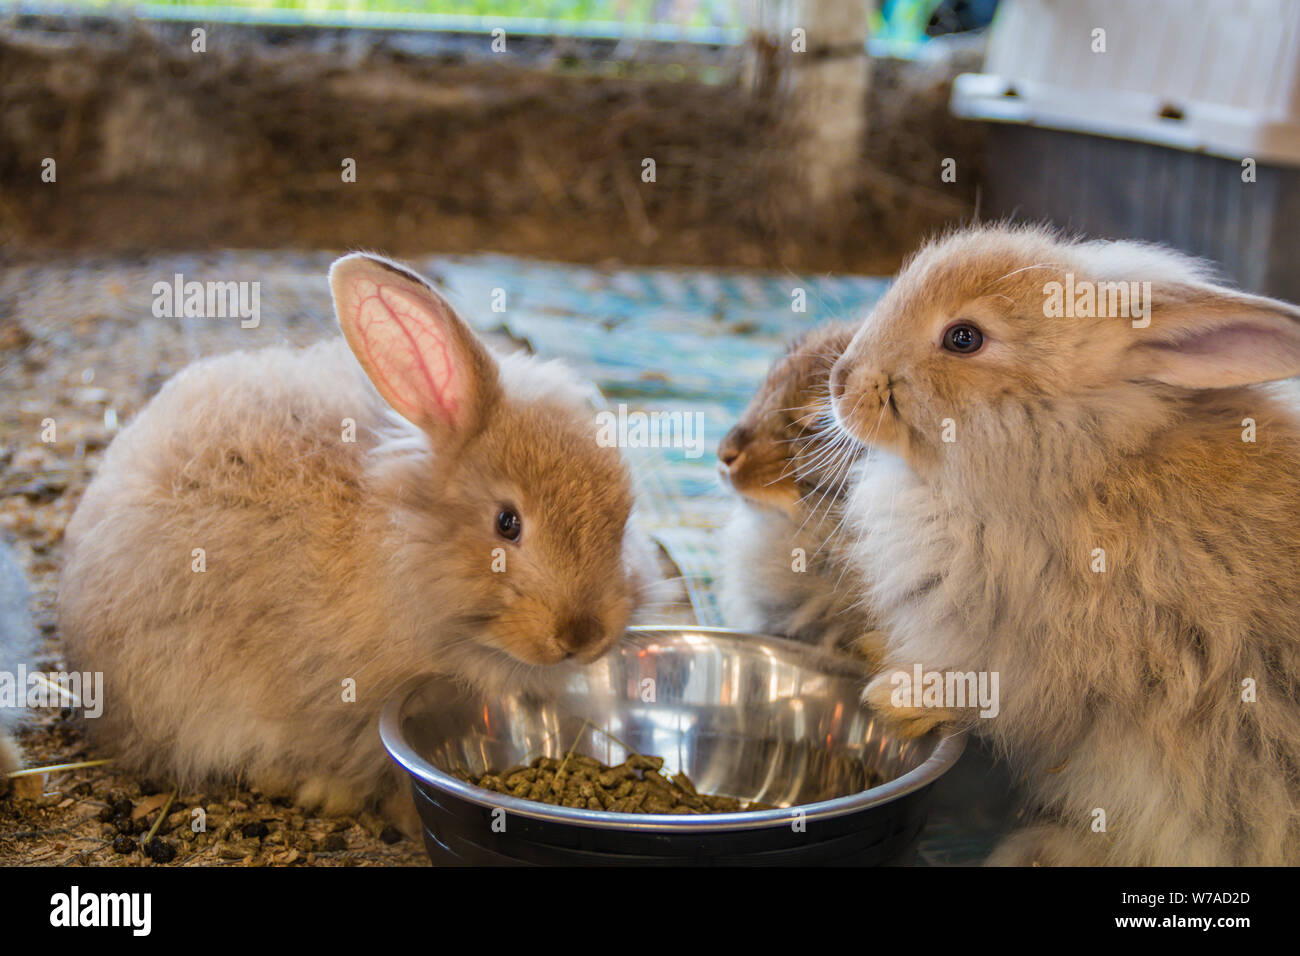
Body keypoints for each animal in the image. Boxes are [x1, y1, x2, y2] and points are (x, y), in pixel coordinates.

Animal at [828, 222, 1300, 865]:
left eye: (963, 338)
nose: (839, 382)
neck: (1082, 452)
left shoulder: (1052, 659)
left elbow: (984, 691)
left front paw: (893, 696)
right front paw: (876, 654)